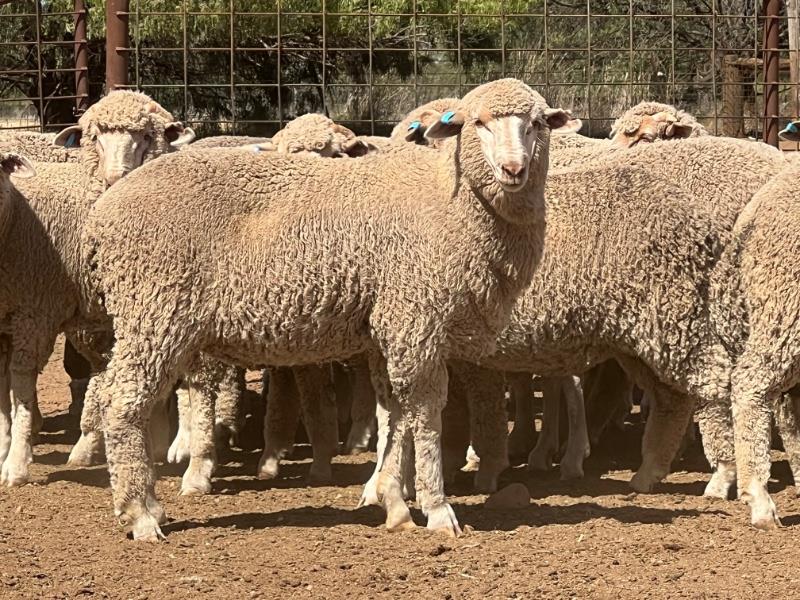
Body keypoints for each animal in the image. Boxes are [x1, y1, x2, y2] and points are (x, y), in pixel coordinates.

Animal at [0, 91, 195, 486]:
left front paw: (16, 464)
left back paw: (182, 447)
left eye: (147, 136)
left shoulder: (34, 314)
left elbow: (22, 387)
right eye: (96, 138)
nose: (117, 176)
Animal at [77, 78, 570, 540]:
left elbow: (395, 414)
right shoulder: (415, 316)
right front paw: (437, 509)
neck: (452, 202)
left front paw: (392, 499)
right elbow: (425, 414)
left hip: (152, 316)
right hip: (154, 310)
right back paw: (141, 513)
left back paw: (147, 504)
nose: (513, 169)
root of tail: (103, 212)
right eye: (477, 123)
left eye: (537, 124)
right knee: (122, 401)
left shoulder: (386, 326)